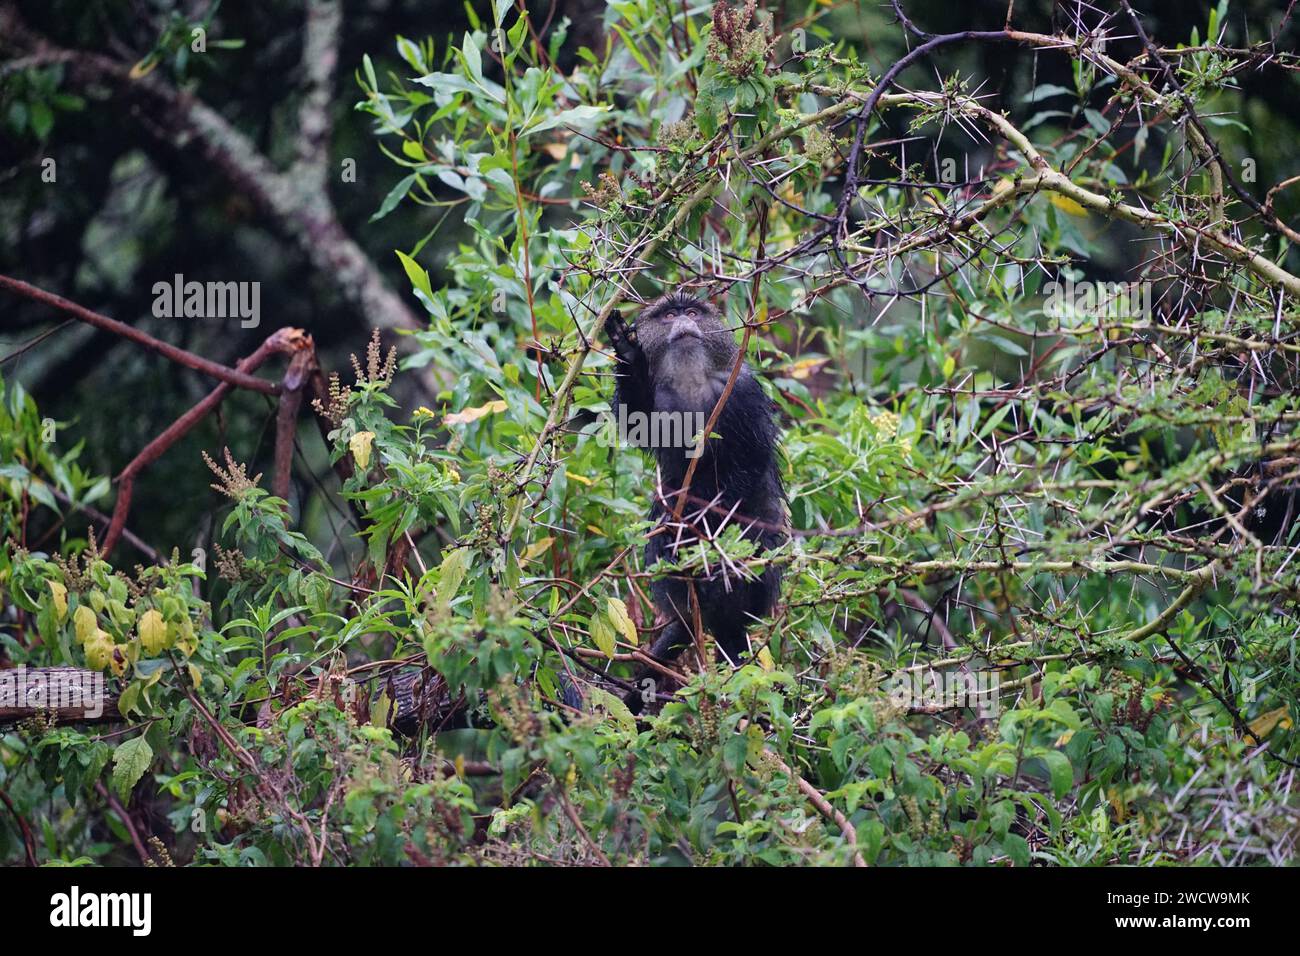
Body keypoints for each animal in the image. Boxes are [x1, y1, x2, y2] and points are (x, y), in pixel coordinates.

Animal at [603, 291, 786, 708]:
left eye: (691, 312)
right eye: (669, 315)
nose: (683, 323)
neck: (691, 381)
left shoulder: (741, 390)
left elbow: (749, 464)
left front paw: (706, 516)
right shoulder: (659, 397)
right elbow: (638, 422)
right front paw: (628, 351)